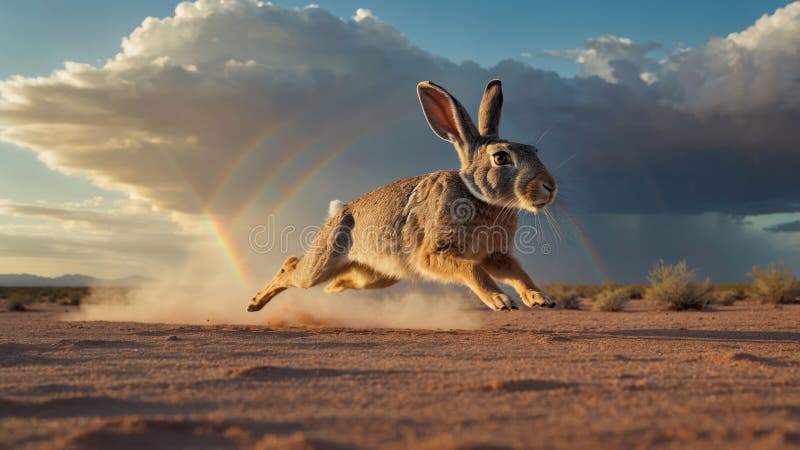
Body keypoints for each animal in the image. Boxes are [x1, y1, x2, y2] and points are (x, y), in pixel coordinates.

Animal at [248, 79, 557, 312]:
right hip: (322, 263)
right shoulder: (435, 253)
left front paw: (540, 298)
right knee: (292, 269)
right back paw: (255, 303)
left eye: (535, 151)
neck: (478, 196)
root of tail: (339, 211)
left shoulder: (495, 256)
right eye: (501, 158)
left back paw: (333, 288)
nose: (550, 187)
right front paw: (500, 300)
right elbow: (472, 270)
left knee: (347, 279)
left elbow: (519, 274)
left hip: (378, 276)